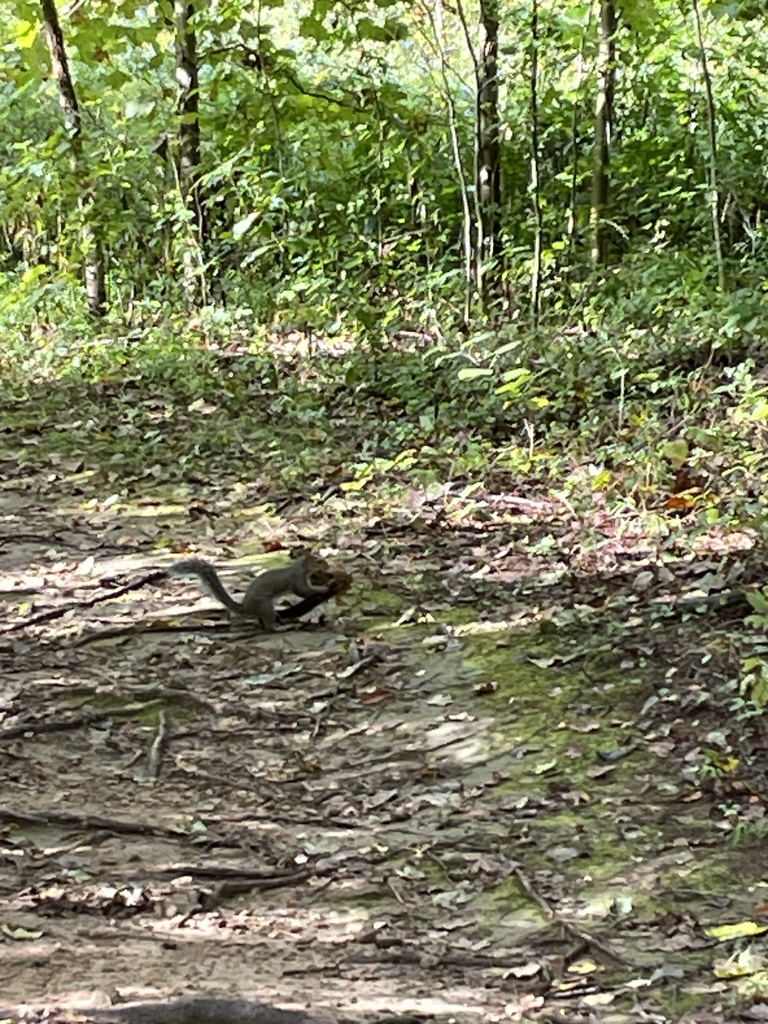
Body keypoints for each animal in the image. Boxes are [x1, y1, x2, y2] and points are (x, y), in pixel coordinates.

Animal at [167, 549, 334, 630]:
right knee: (268, 627)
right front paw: (322, 588)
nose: (328, 566)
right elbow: (304, 591)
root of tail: (246, 607)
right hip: (265, 605)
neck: (301, 567)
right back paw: (281, 627)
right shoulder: (297, 580)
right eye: (319, 561)